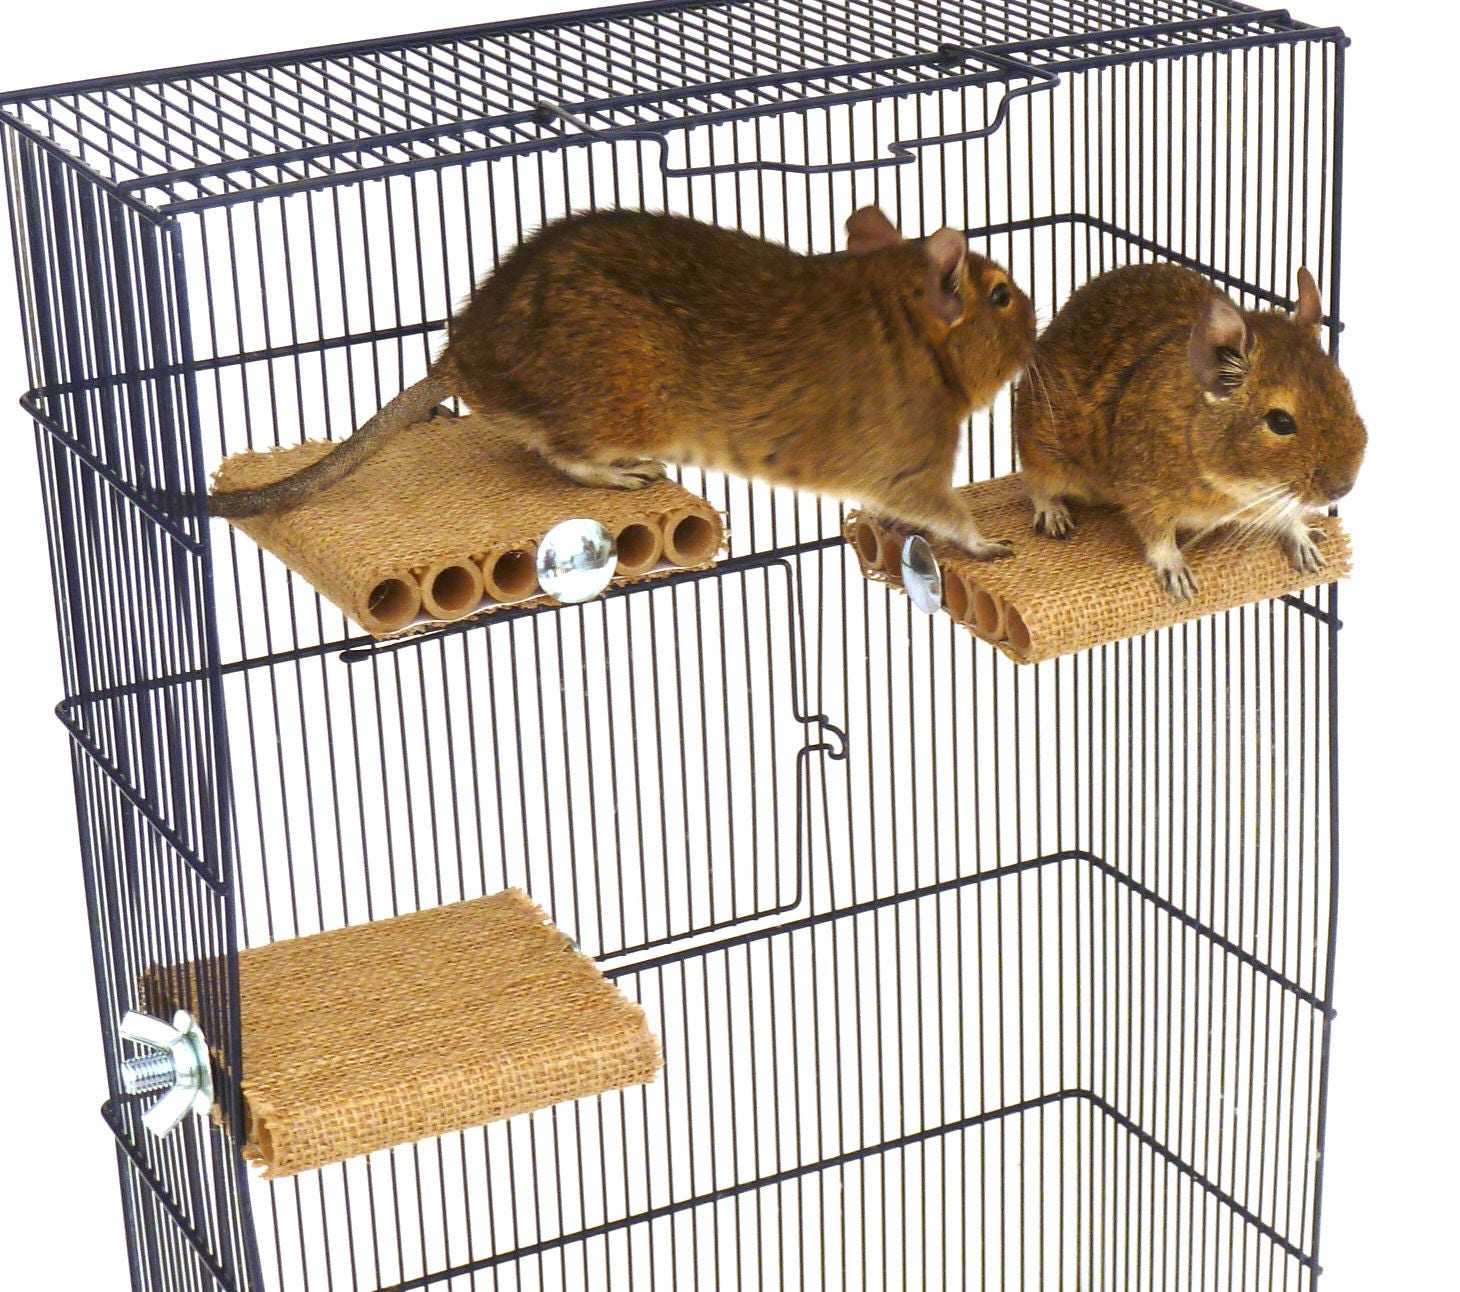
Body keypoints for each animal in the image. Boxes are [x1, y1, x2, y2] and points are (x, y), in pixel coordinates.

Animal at [210, 207, 1036, 561]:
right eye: (1002, 296)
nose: (1035, 331)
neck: (900, 310)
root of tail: (462, 355)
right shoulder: (915, 465)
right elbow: (950, 512)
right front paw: (991, 545)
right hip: (630, 398)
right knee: (561, 452)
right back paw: (628, 475)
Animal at [1014, 262, 1366, 599]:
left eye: (1347, 393)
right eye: (1281, 422)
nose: (1343, 489)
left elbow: (1289, 517)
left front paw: (1306, 545)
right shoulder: (1143, 490)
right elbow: (1158, 538)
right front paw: (1178, 577)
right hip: (1039, 446)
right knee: (1037, 483)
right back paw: (1055, 518)